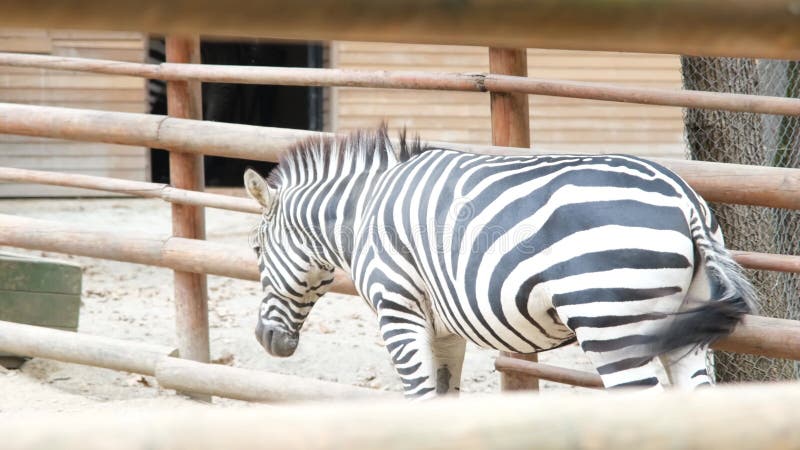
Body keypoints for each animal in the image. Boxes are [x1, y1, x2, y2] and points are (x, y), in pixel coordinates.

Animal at [244, 126, 755, 399]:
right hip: (682, 329)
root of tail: (684, 197)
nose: (266, 341)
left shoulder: (398, 310)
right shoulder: (443, 325)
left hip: (610, 325)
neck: (366, 208)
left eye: (255, 251)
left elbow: (418, 394)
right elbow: (443, 397)